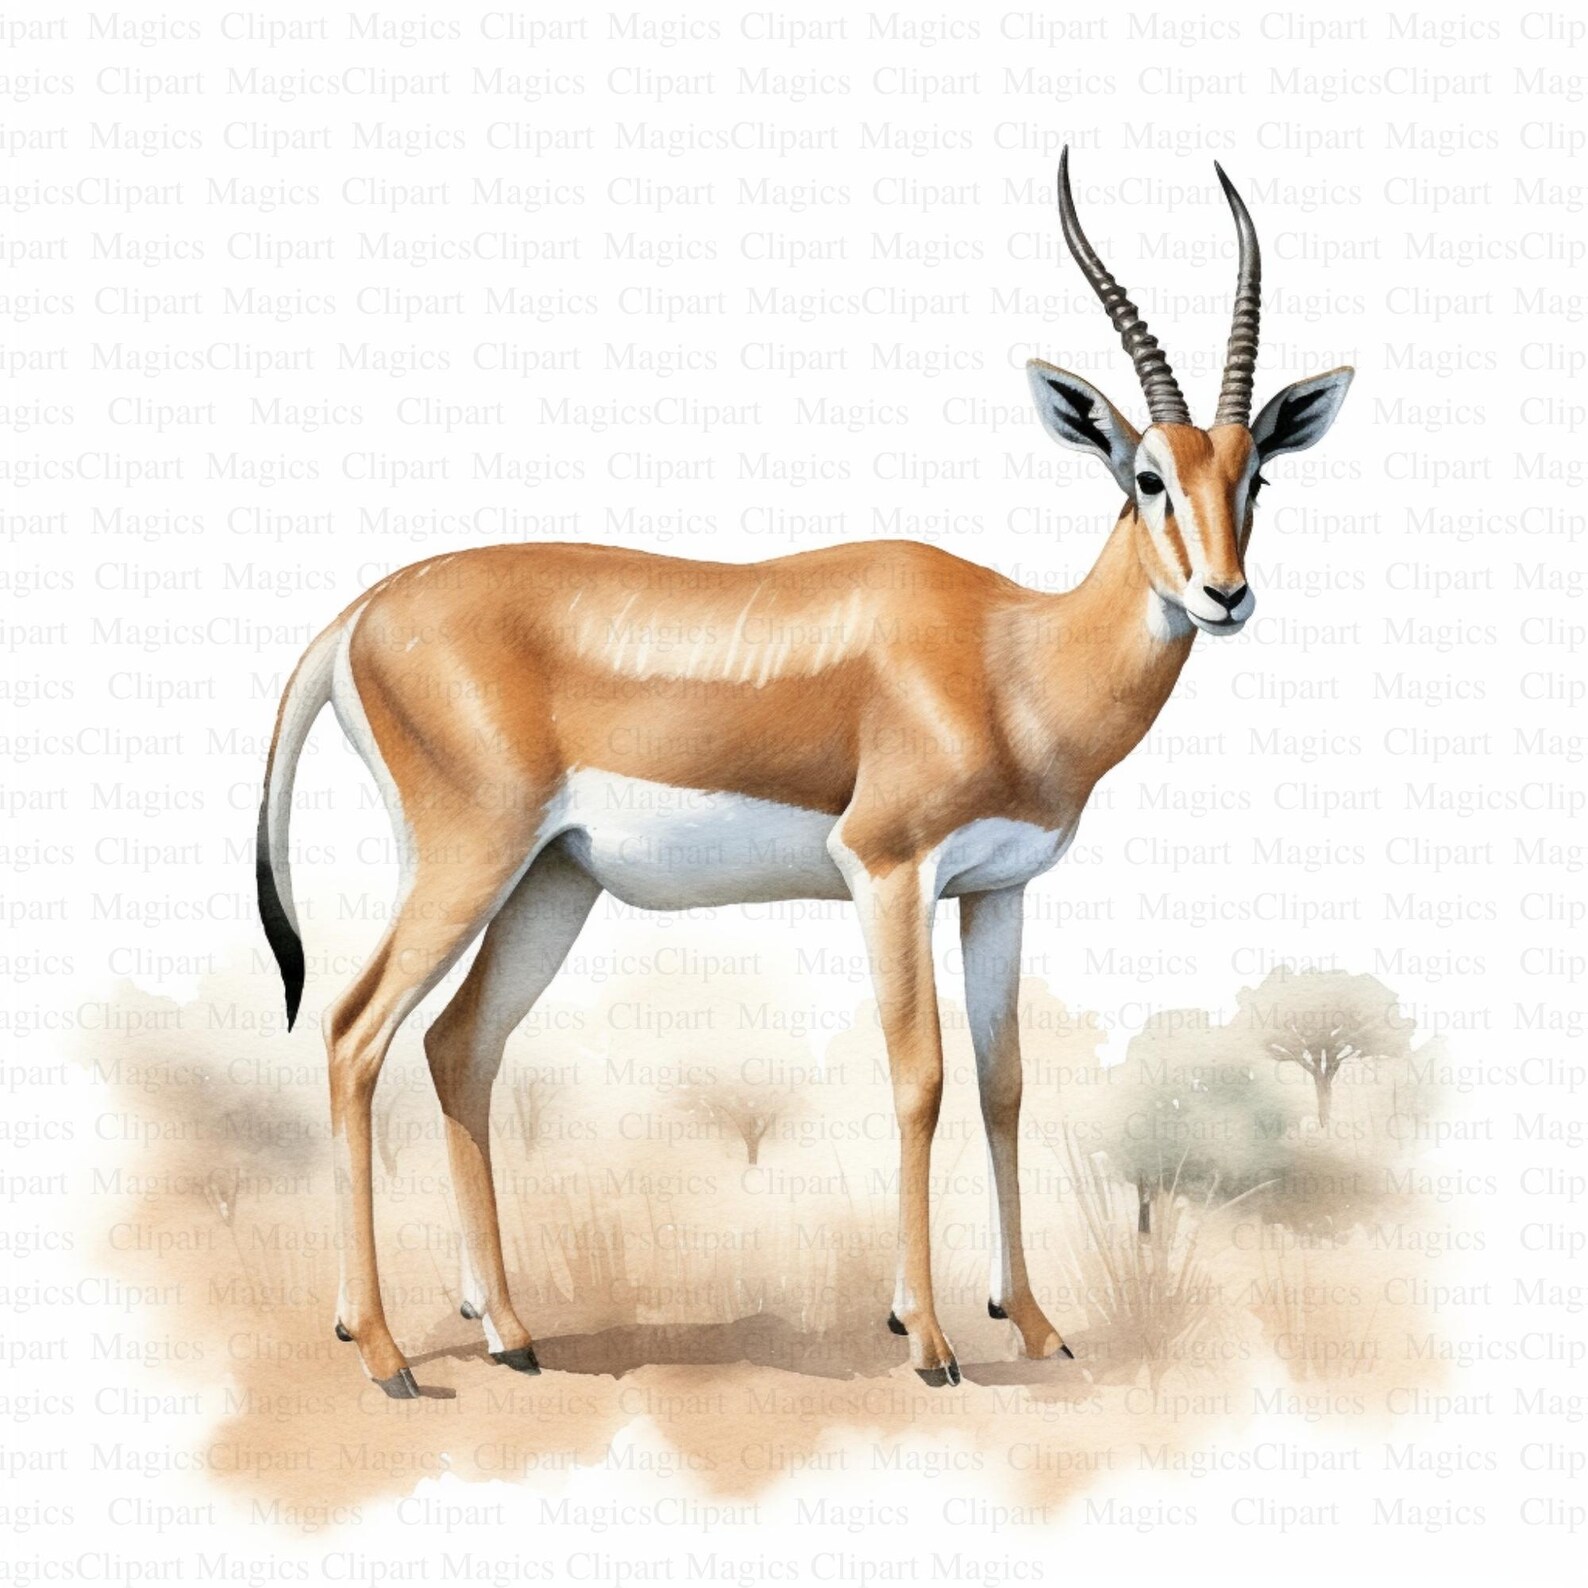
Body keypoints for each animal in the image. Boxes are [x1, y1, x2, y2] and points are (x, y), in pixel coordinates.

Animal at [257, 150, 1352, 1396]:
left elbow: (1005, 1082)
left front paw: (1032, 1323)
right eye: (1147, 477)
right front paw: (926, 1338)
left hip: (550, 882)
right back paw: (383, 1350)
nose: (1224, 595)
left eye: (1255, 475)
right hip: (468, 861)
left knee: (458, 1045)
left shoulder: (996, 890)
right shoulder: (886, 869)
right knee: (353, 1032)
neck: (1008, 656)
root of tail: (359, 612)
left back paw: (508, 1330)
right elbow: (919, 1077)